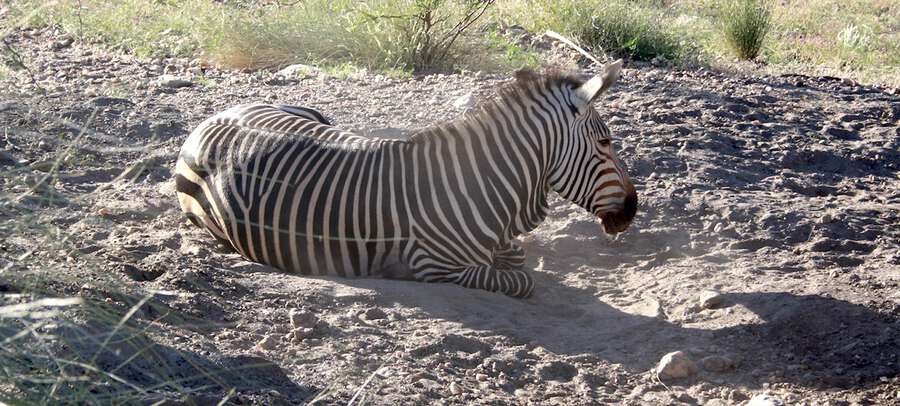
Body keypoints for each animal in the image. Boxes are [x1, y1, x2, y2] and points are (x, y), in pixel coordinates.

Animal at [174, 60, 637, 298]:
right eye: (606, 142)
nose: (633, 210)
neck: (483, 186)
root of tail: (211, 118)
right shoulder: (436, 266)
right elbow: (519, 280)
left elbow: (517, 257)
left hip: (311, 114)